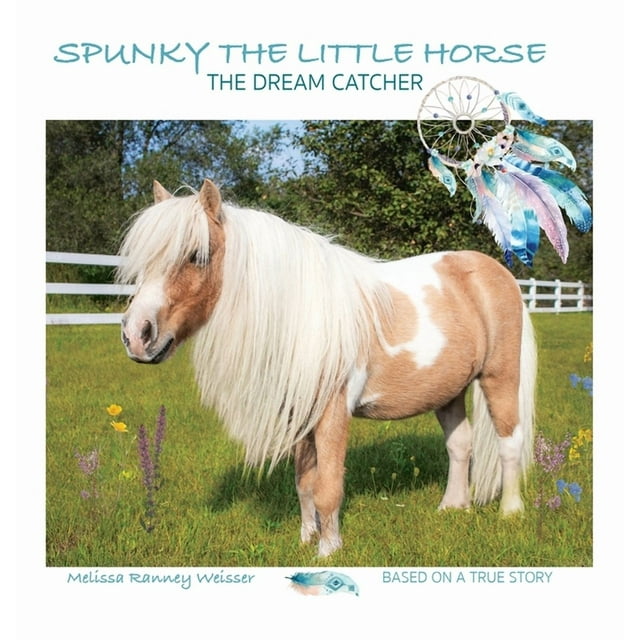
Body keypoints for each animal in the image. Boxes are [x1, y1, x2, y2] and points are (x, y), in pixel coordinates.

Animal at [118, 179, 537, 558]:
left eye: (196, 255)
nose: (136, 335)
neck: (302, 314)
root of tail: (497, 273)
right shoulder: (300, 412)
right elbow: (305, 483)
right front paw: (307, 538)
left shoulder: (333, 413)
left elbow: (328, 486)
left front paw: (328, 550)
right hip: (449, 391)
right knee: (460, 444)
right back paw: (452, 507)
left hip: (499, 378)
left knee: (509, 442)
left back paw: (511, 512)